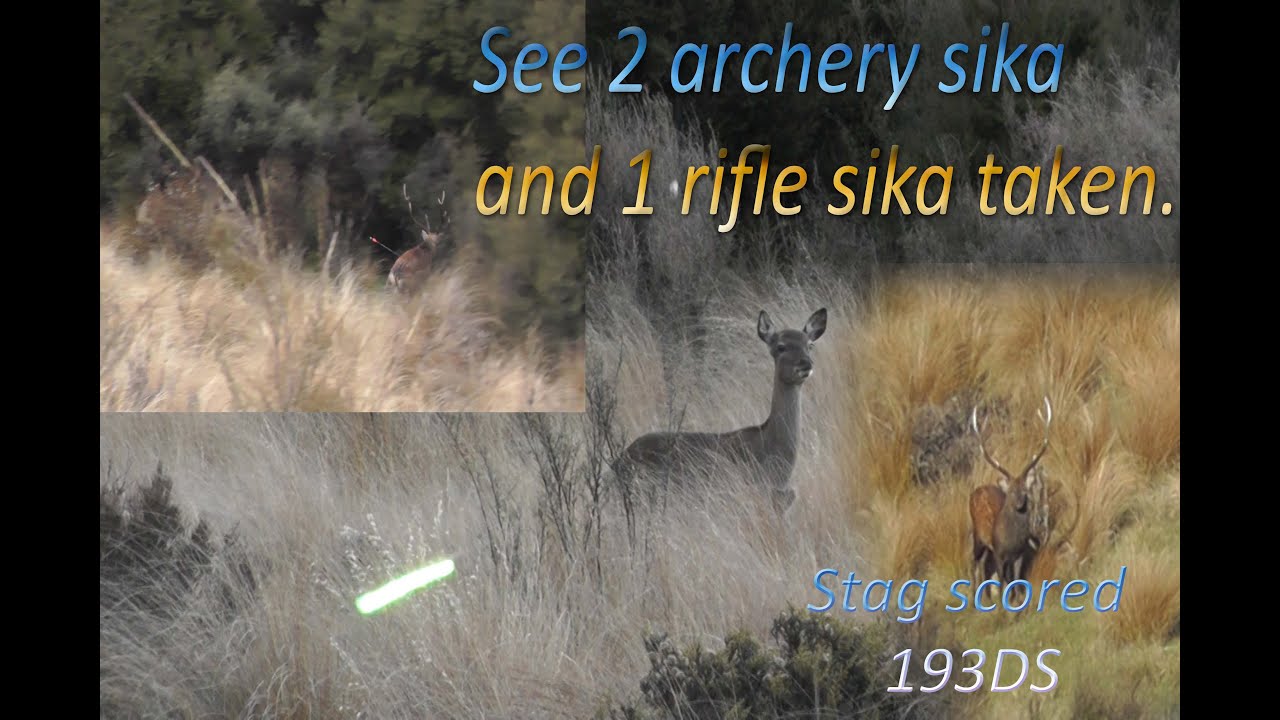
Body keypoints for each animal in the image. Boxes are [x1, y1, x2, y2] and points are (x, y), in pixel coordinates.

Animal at [968, 395, 1055, 606]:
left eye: (1025, 490)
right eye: (1011, 492)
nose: (1020, 504)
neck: (1011, 541)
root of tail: (977, 490)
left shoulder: (1019, 554)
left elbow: (1015, 579)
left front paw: (1017, 600)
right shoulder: (1000, 554)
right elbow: (1002, 581)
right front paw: (1003, 605)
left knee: (984, 564)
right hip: (978, 536)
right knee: (974, 561)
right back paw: (974, 595)